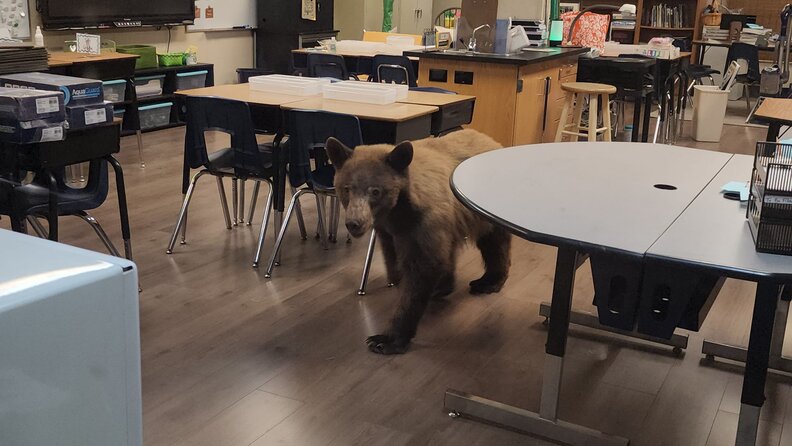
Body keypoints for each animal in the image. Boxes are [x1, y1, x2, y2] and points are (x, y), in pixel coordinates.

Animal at [326, 129, 511, 355]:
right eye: (346, 188)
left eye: (375, 191)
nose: (354, 223)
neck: (399, 210)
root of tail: (492, 140)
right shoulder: (388, 230)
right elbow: (396, 262)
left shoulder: (423, 223)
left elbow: (421, 268)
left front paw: (386, 339)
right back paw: (444, 286)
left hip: (486, 212)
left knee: (494, 242)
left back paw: (488, 282)